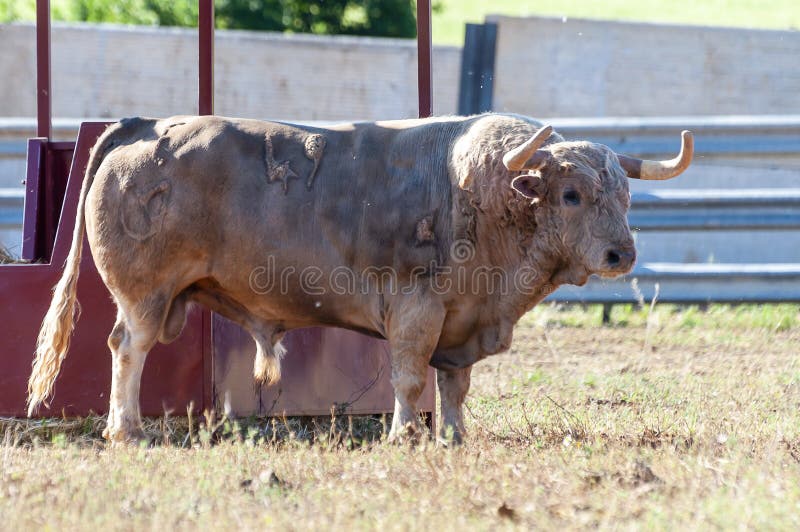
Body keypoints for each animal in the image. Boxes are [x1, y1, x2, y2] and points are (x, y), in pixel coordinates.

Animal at [26, 113, 692, 444]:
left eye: (626, 195)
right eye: (572, 194)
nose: (621, 254)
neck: (486, 198)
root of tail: (144, 126)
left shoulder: (462, 324)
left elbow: (453, 387)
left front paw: (454, 437)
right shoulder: (417, 311)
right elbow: (409, 379)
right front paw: (403, 434)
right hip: (145, 297)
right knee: (126, 349)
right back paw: (126, 429)